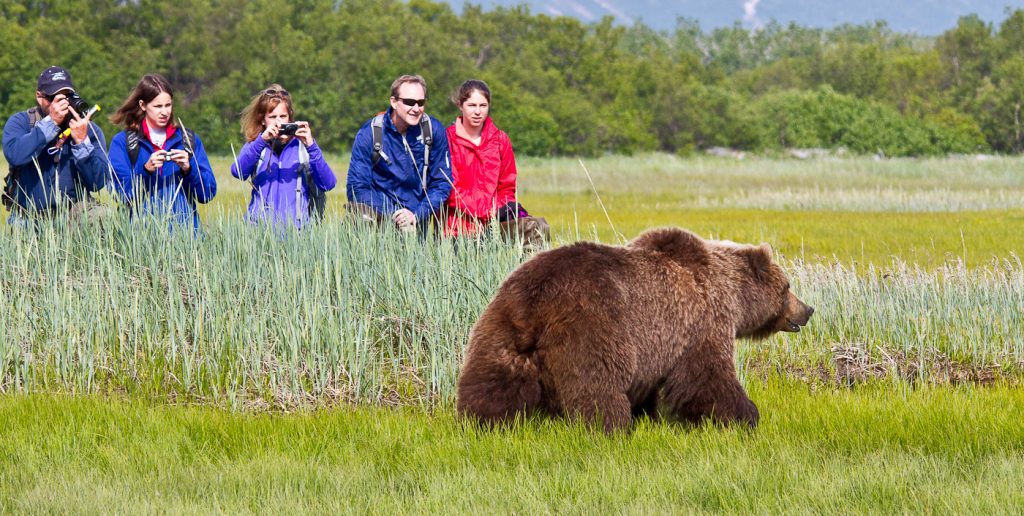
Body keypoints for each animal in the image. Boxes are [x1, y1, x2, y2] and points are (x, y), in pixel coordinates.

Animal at [456, 227, 814, 433]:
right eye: (788, 287)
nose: (808, 309)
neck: (731, 295)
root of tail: (536, 303)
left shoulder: (660, 339)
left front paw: (649, 415)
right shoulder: (701, 323)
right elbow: (707, 376)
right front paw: (745, 416)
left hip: (500, 324)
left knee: (491, 381)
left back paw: (482, 422)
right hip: (595, 326)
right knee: (597, 385)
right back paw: (611, 427)